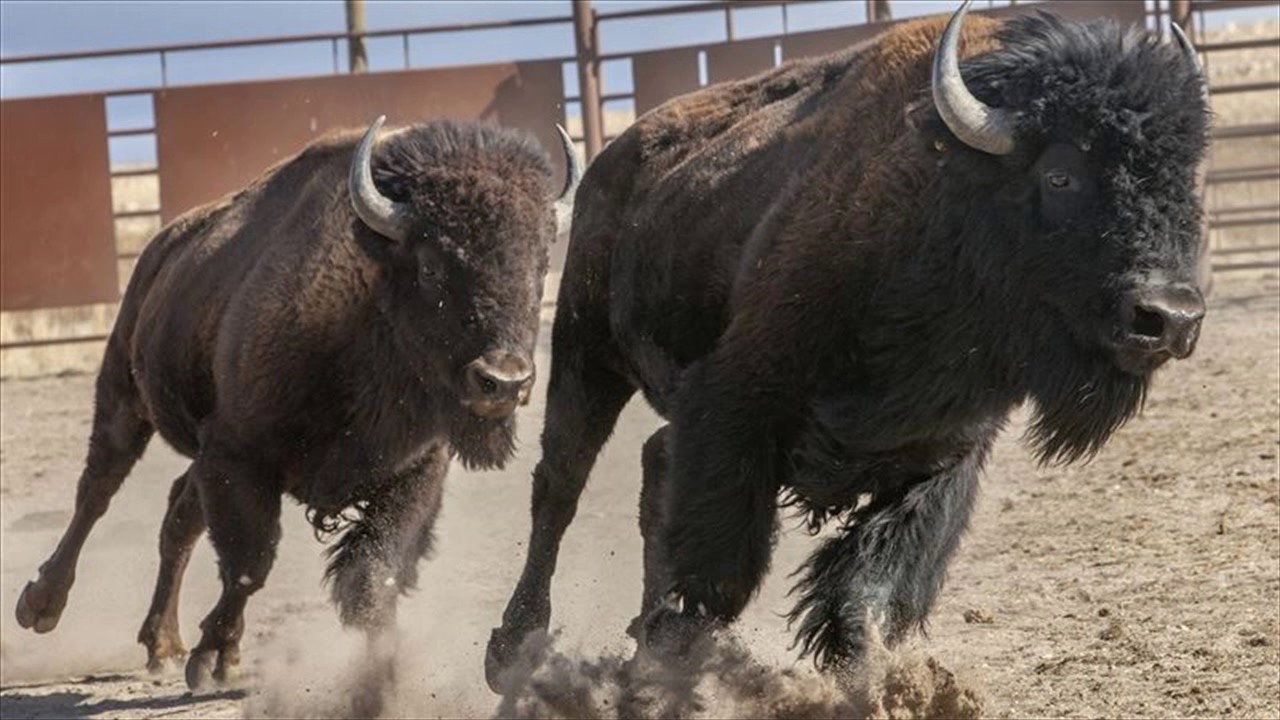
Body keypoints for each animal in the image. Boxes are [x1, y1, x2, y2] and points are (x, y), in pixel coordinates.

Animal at [16, 116, 580, 700]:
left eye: (541, 262)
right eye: (430, 266)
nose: (504, 380)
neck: (365, 311)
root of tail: (162, 248)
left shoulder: (418, 470)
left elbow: (372, 574)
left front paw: (380, 678)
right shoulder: (240, 459)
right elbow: (250, 563)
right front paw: (214, 660)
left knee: (178, 518)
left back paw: (164, 645)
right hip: (124, 395)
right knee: (97, 491)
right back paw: (41, 605)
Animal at [486, 1, 1209, 683]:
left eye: (1182, 179)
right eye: (1060, 175)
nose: (1169, 316)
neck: (937, 208)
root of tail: (611, 161)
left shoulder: (941, 463)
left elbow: (868, 594)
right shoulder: (734, 411)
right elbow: (720, 576)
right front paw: (667, 650)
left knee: (653, 465)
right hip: (586, 351)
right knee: (561, 483)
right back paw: (511, 651)